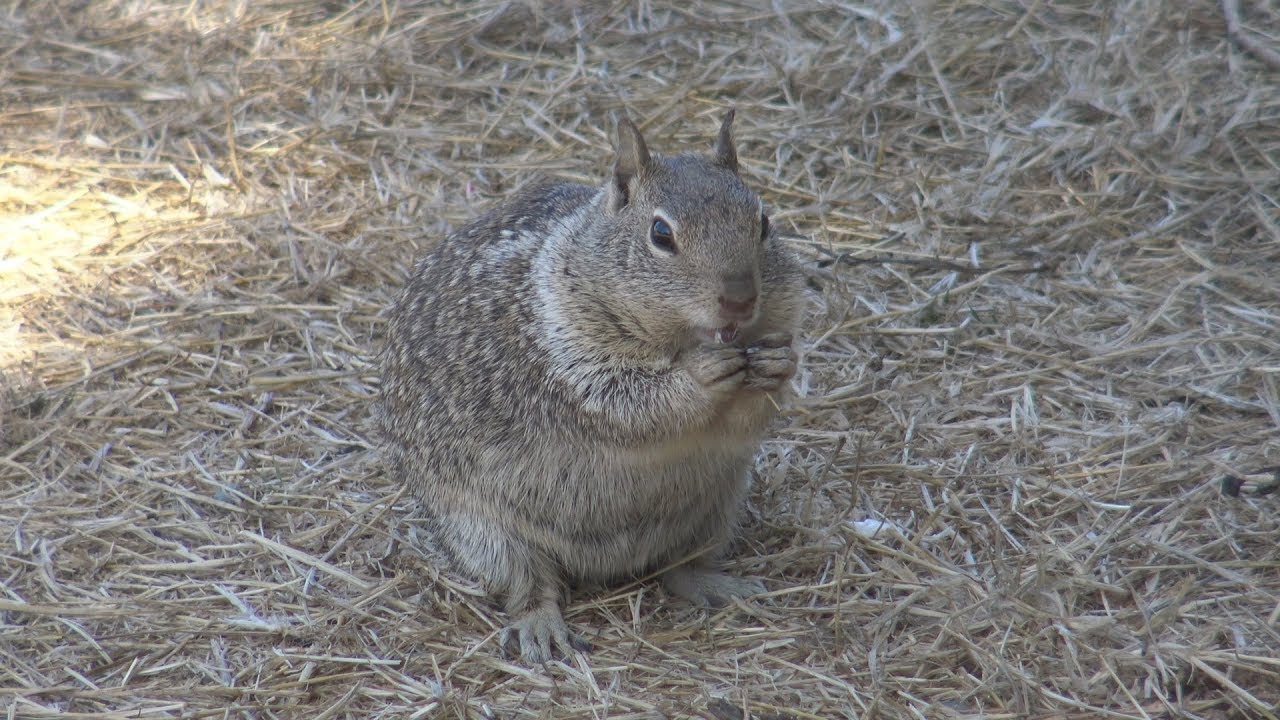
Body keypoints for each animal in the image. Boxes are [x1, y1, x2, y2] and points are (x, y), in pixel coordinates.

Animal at [378, 110, 804, 663]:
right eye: (661, 234)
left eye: (764, 222)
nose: (740, 299)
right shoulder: (567, 368)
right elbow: (631, 405)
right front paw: (700, 376)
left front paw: (778, 364)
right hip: (484, 532)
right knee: (528, 584)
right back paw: (541, 626)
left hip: (716, 510)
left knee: (681, 567)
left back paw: (718, 584)